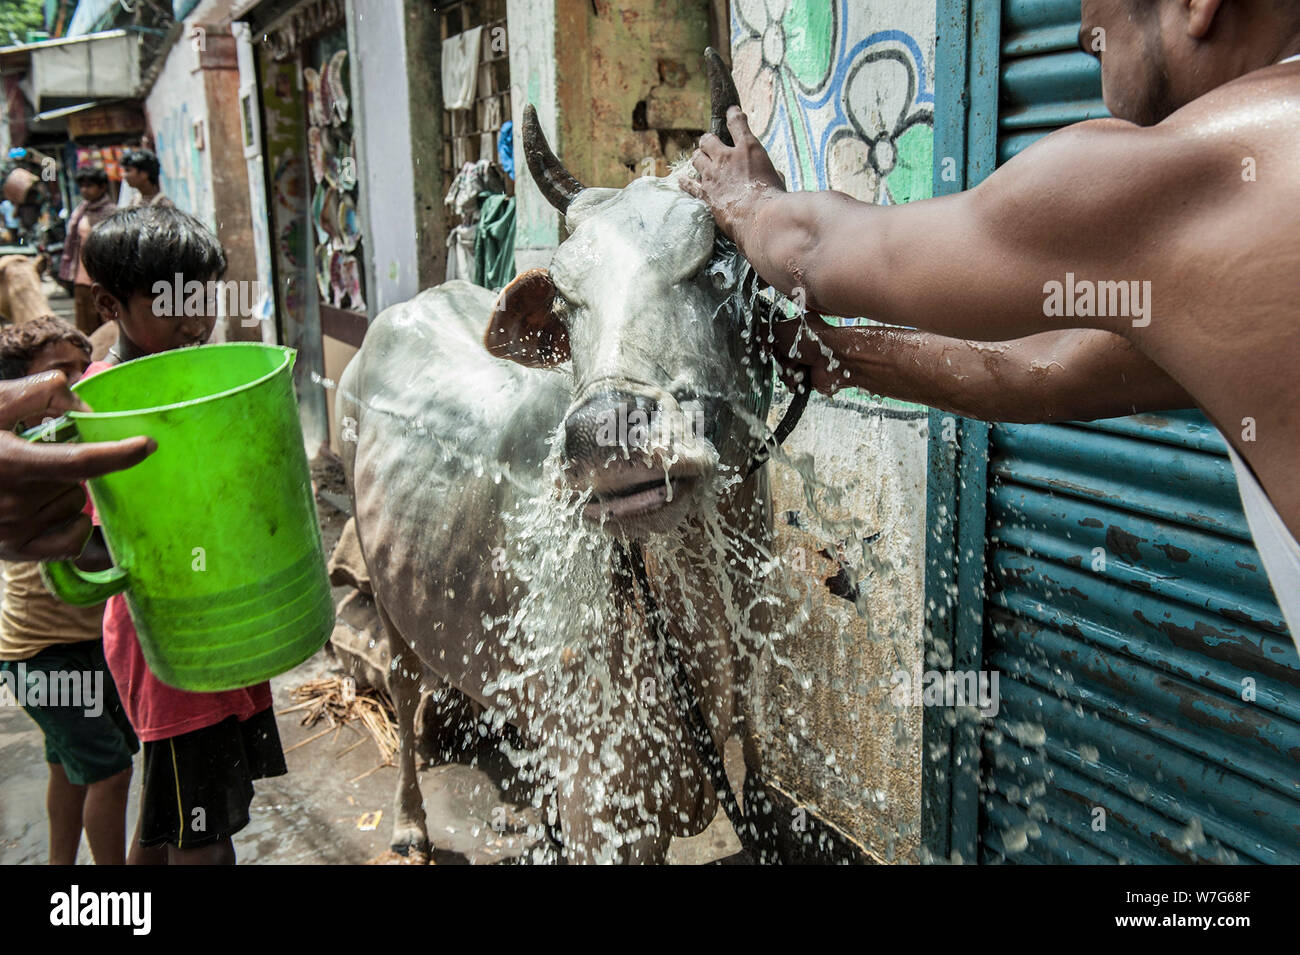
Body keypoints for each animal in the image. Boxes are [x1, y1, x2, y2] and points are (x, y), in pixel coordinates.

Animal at [338, 51, 786, 863]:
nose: (603, 432)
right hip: (387, 596)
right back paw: (410, 820)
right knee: (404, 681)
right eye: (569, 302)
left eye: (717, 260)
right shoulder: (604, 806)